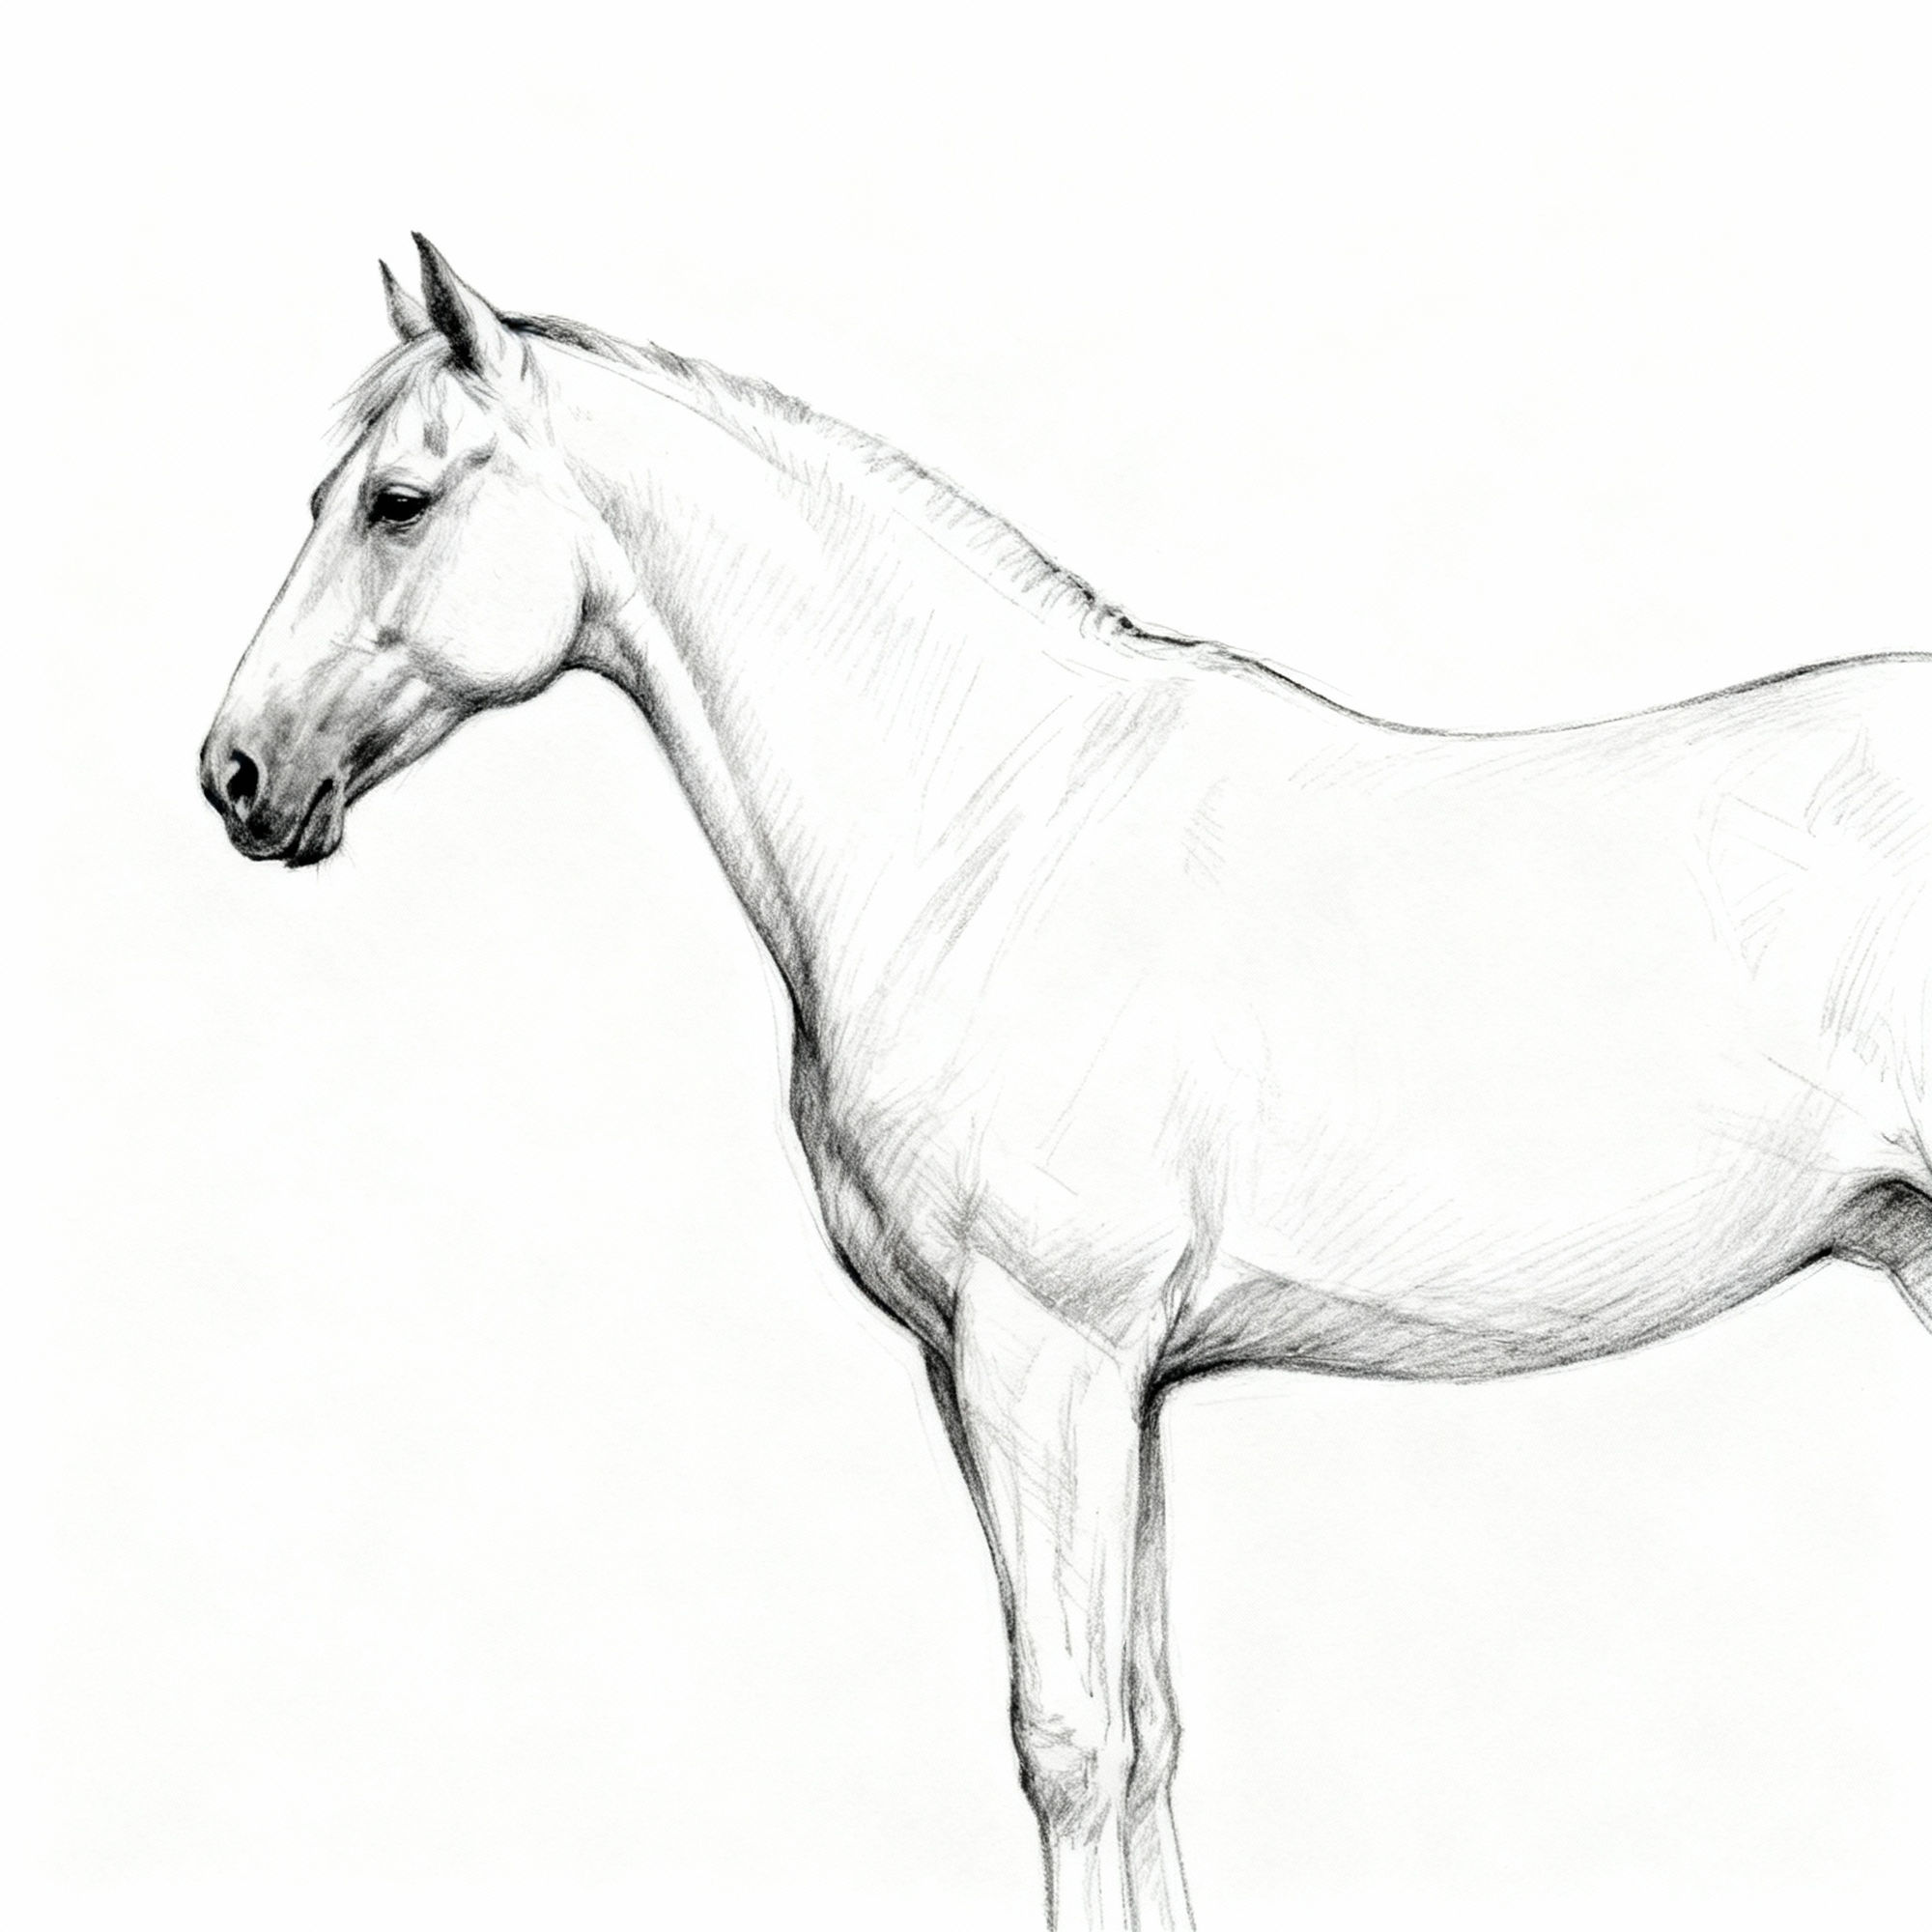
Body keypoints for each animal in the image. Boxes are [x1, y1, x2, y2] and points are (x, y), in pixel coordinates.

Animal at [200, 237, 1932, 1931]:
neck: (991, 832)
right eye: (323, 494)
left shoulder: (1048, 1354)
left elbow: (1071, 1740)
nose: (235, 775)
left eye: (397, 501)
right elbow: (1149, 1726)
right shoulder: (1079, 1379)